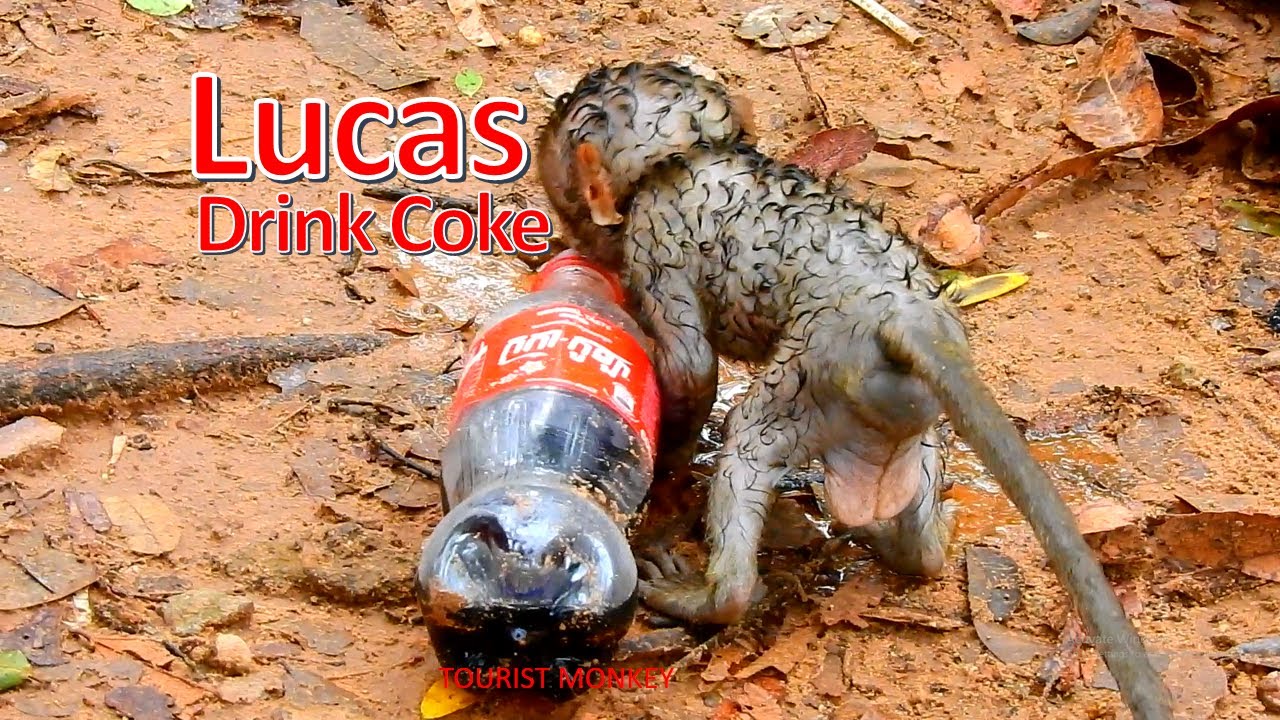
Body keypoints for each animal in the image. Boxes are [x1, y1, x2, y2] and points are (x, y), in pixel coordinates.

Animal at [535, 68, 1172, 720]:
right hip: (904, 411)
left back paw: (714, 596)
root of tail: (912, 318)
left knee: (750, 441)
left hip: (817, 376)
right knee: (915, 503)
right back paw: (915, 544)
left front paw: (662, 483)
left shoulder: (654, 234)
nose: (573, 233)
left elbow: (690, 370)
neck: (689, 151)